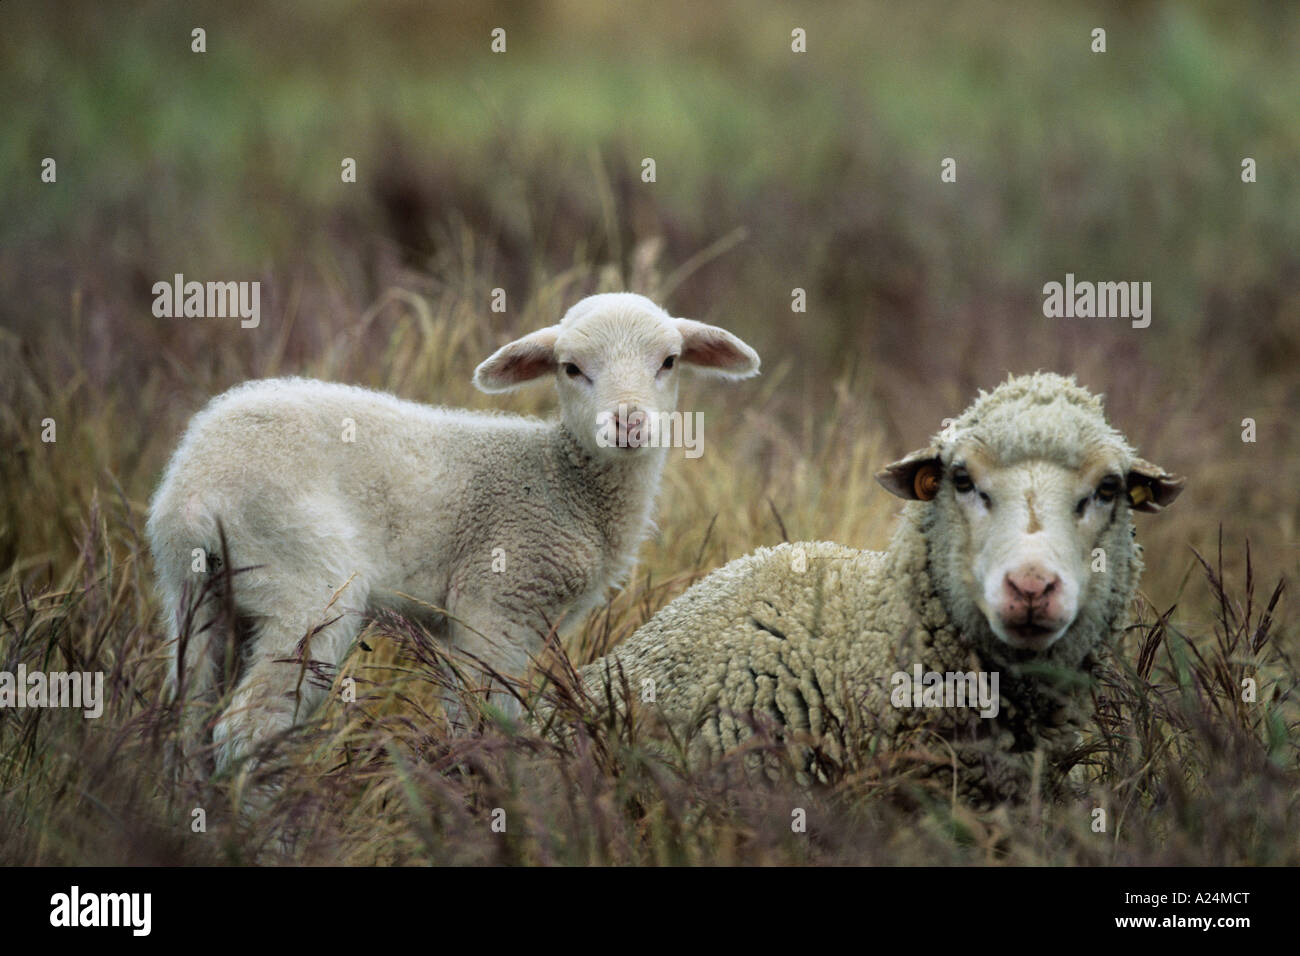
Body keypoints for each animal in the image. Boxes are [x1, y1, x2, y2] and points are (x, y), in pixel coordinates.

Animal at [147, 292, 760, 777]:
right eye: (570, 368)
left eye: (669, 361)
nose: (629, 424)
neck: (562, 480)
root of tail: (194, 489)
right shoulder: (496, 606)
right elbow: (482, 724)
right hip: (305, 581)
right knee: (247, 730)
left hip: (199, 597)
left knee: (190, 723)